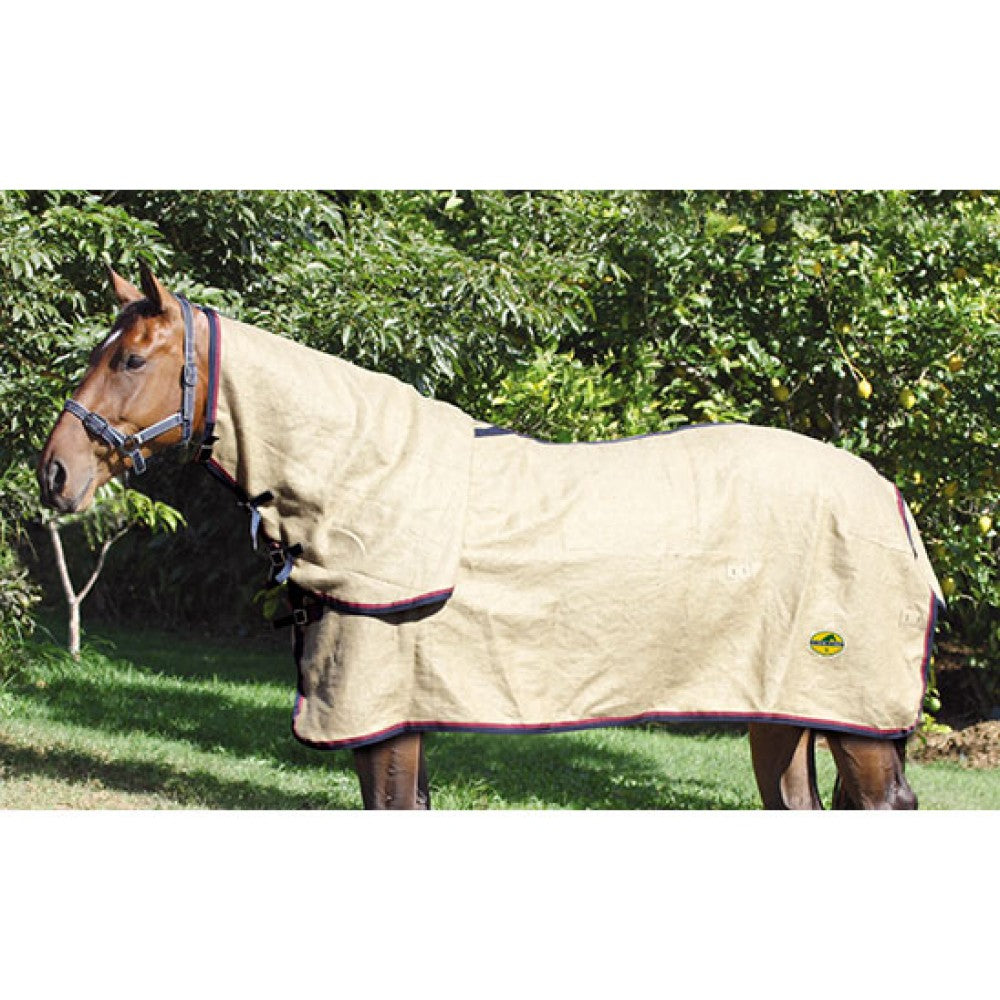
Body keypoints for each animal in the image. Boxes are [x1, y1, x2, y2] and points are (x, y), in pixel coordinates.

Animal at [39, 264, 941, 809]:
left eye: (129, 360)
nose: (54, 472)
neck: (356, 469)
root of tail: (891, 499)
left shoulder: (381, 711)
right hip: (782, 705)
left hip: (851, 710)